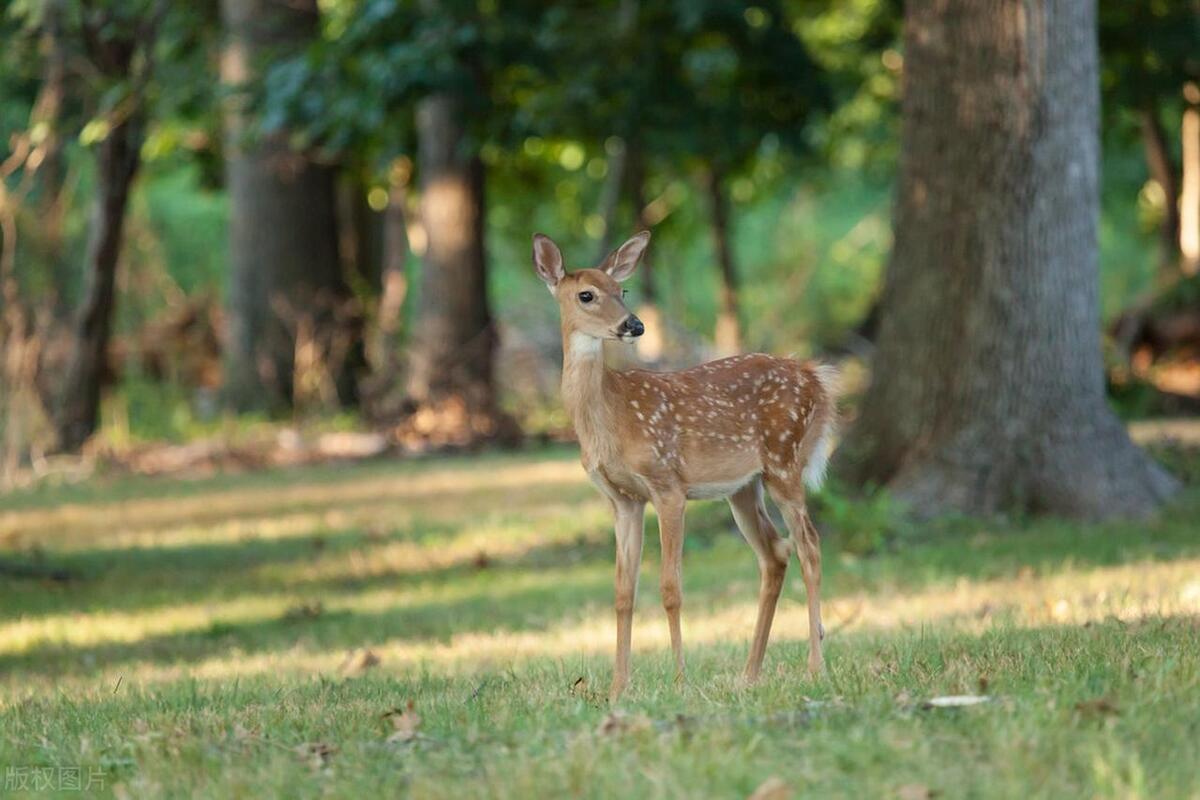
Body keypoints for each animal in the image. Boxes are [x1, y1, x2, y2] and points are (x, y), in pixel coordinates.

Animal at [533, 230, 837, 701]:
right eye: (586, 294)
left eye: (622, 290)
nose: (634, 325)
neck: (609, 419)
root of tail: (815, 377)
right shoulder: (622, 500)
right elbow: (623, 592)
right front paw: (618, 687)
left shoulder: (668, 485)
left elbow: (670, 588)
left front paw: (679, 681)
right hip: (744, 486)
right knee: (775, 553)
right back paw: (749, 674)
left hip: (784, 461)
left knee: (810, 546)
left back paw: (815, 667)